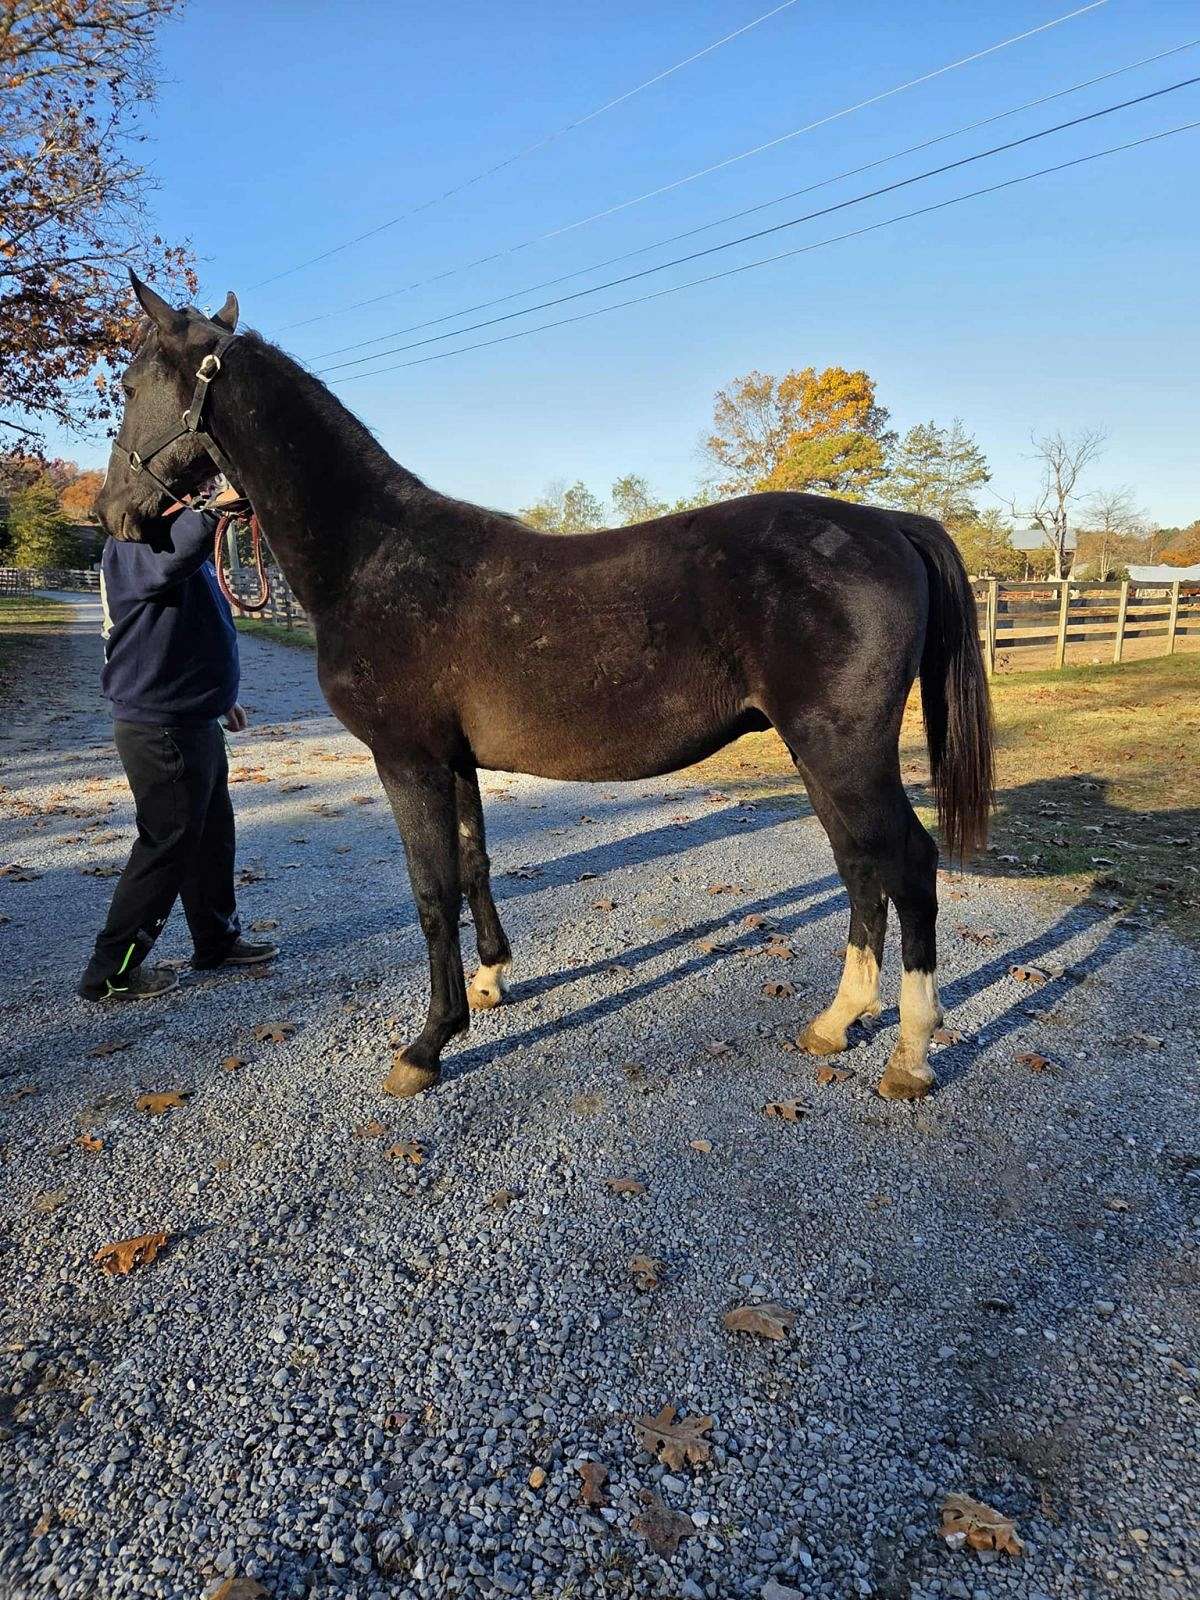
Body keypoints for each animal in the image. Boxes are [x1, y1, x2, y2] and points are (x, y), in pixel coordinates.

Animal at [95, 273, 993, 1102]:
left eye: (130, 387)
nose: (113, 514)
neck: (374, 556)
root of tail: (889, 524)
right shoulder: (452, 761)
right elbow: (474, 864)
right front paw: (491, 983)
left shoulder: (407, 760)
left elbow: (430, 893)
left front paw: (427, 1046)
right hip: (818, 755)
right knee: (860, 867)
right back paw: (836, 1023)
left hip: (843, 750)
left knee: (907, 865)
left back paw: (910, 1054)